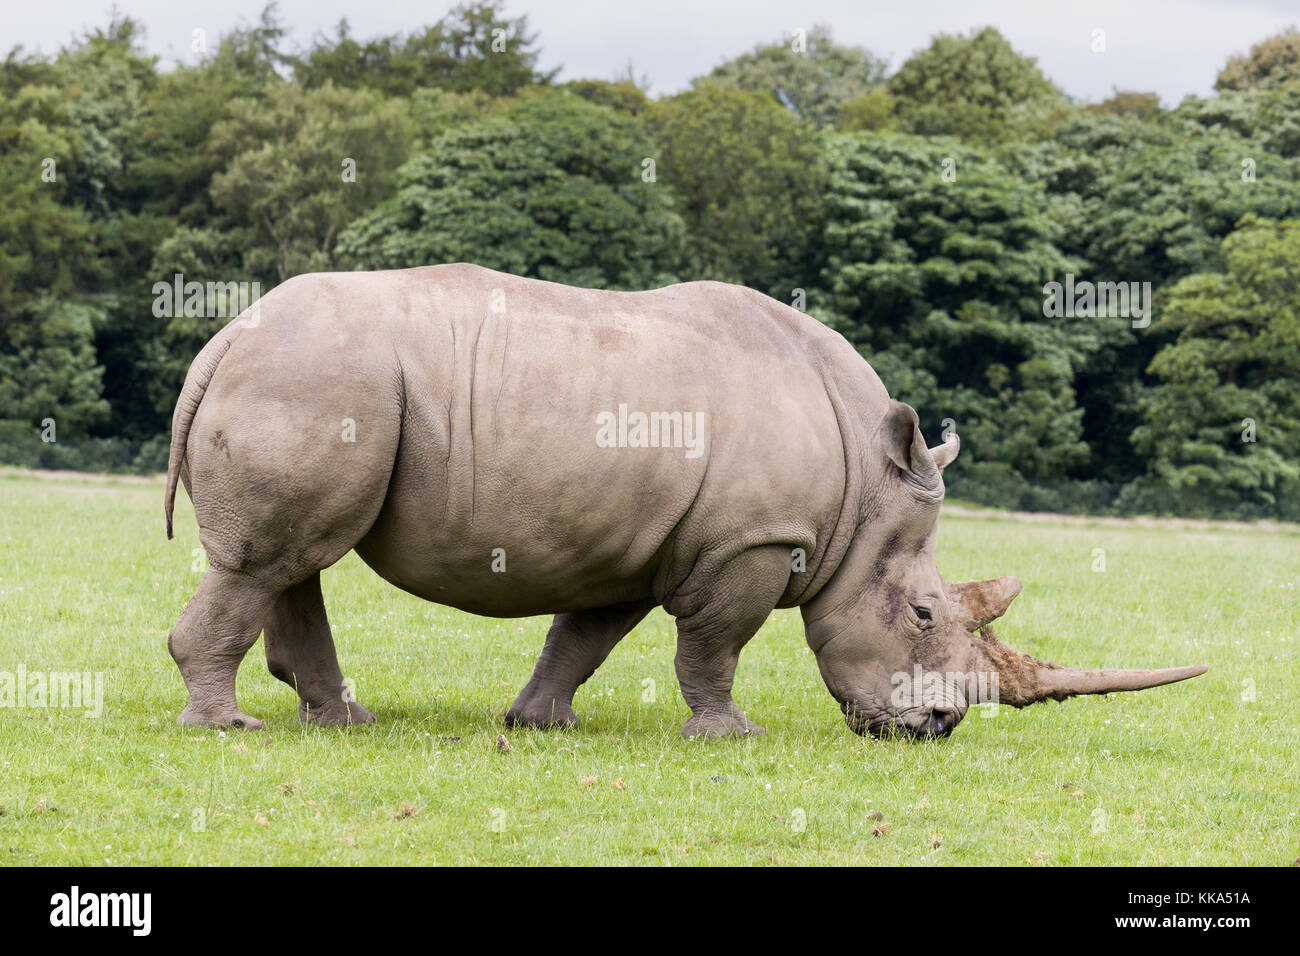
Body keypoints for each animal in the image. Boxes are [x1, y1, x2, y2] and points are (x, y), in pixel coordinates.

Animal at [163, 264, 1206, 739]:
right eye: (921, 615)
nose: (937, 728)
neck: (864, 495)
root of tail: (223, 341)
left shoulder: (632, 544)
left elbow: (584, 636)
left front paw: (539, 725)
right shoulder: (751, 542)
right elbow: (716, 641)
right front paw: (730, 734)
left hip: (324, 384)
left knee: (298, 557)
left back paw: (340, 722)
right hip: (318, 380)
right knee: (273, 558)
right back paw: (230, 728)